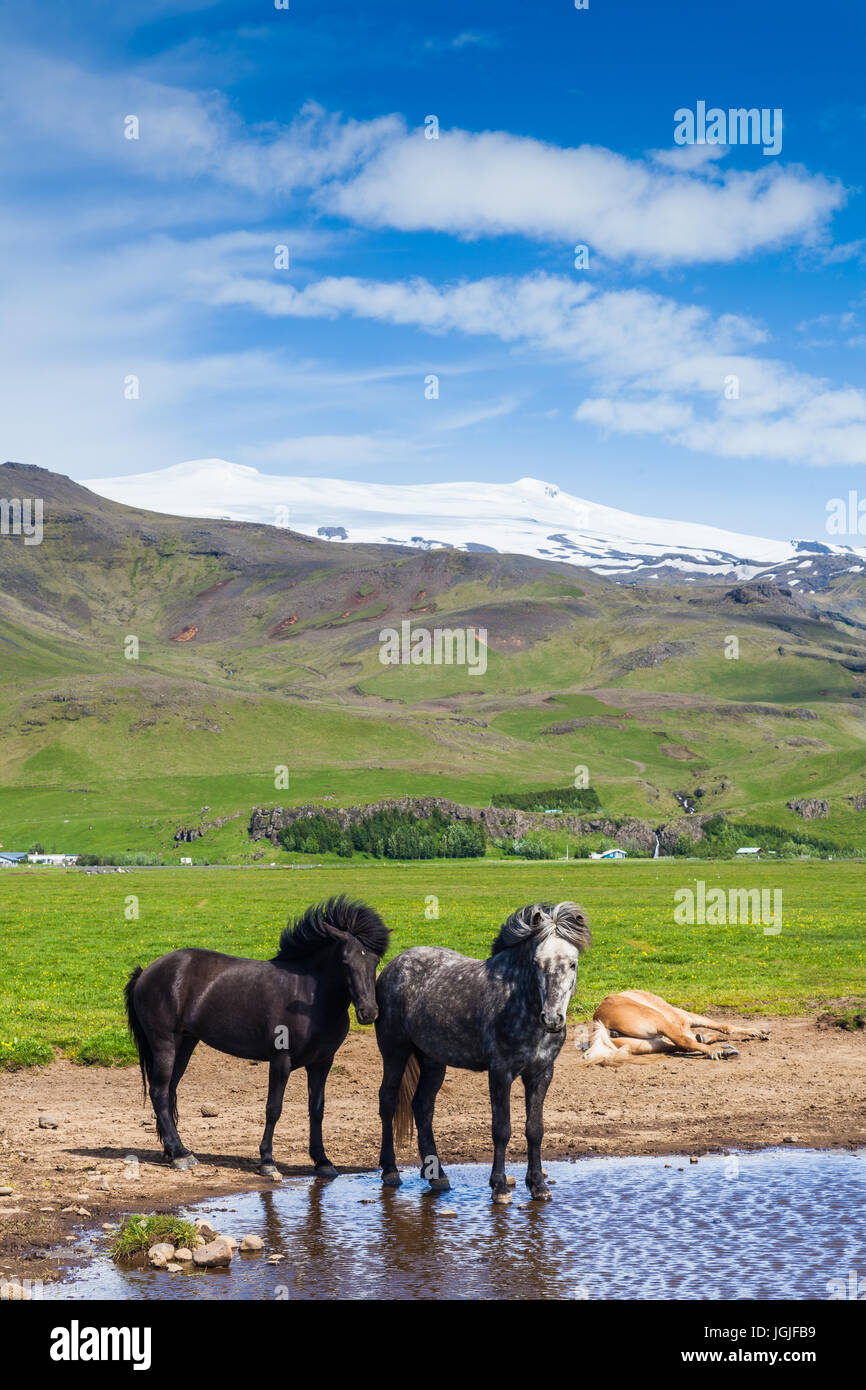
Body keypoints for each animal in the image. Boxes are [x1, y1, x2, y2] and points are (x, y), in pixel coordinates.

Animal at [124, 896, 389, 1175]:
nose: (369, 1012)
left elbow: (317, 1109)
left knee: (169, 1091)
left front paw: (323, 1161)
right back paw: (180, 1155)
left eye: (375, 961)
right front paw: (267, 1160)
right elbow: (273, 1108)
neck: (309, 996)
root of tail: (146, 972)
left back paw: (173, 1151)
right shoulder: (281, 1060)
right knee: (159, 1092)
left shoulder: (322, 1062)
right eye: (345, 962)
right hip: (164, 1044)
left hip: (185, 1043)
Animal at [375, 901, 591, 1203]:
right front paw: (499, 1187)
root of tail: (393, 965)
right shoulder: (500, 1072)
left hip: (432, 1061)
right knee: (388, 1102)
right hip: (395, 1051)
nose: (552, 1018)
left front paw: (538, 1185)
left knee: (422, 1107)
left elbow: (535, 1129)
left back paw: (437, 1176)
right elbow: (501, 1129)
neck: (518, 1002)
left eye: (572, 963)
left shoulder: (541, 1073)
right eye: (537, 963)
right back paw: (391, 1171)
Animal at [574, 988, 770, 1064]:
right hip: (659, 1022)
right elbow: (723, 1026)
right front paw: (758, 1031)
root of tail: (601, 1022)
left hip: (649, 1044)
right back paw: (718, 1051)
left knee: (679, 1045)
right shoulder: (686, 1016)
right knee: (683, 1042)